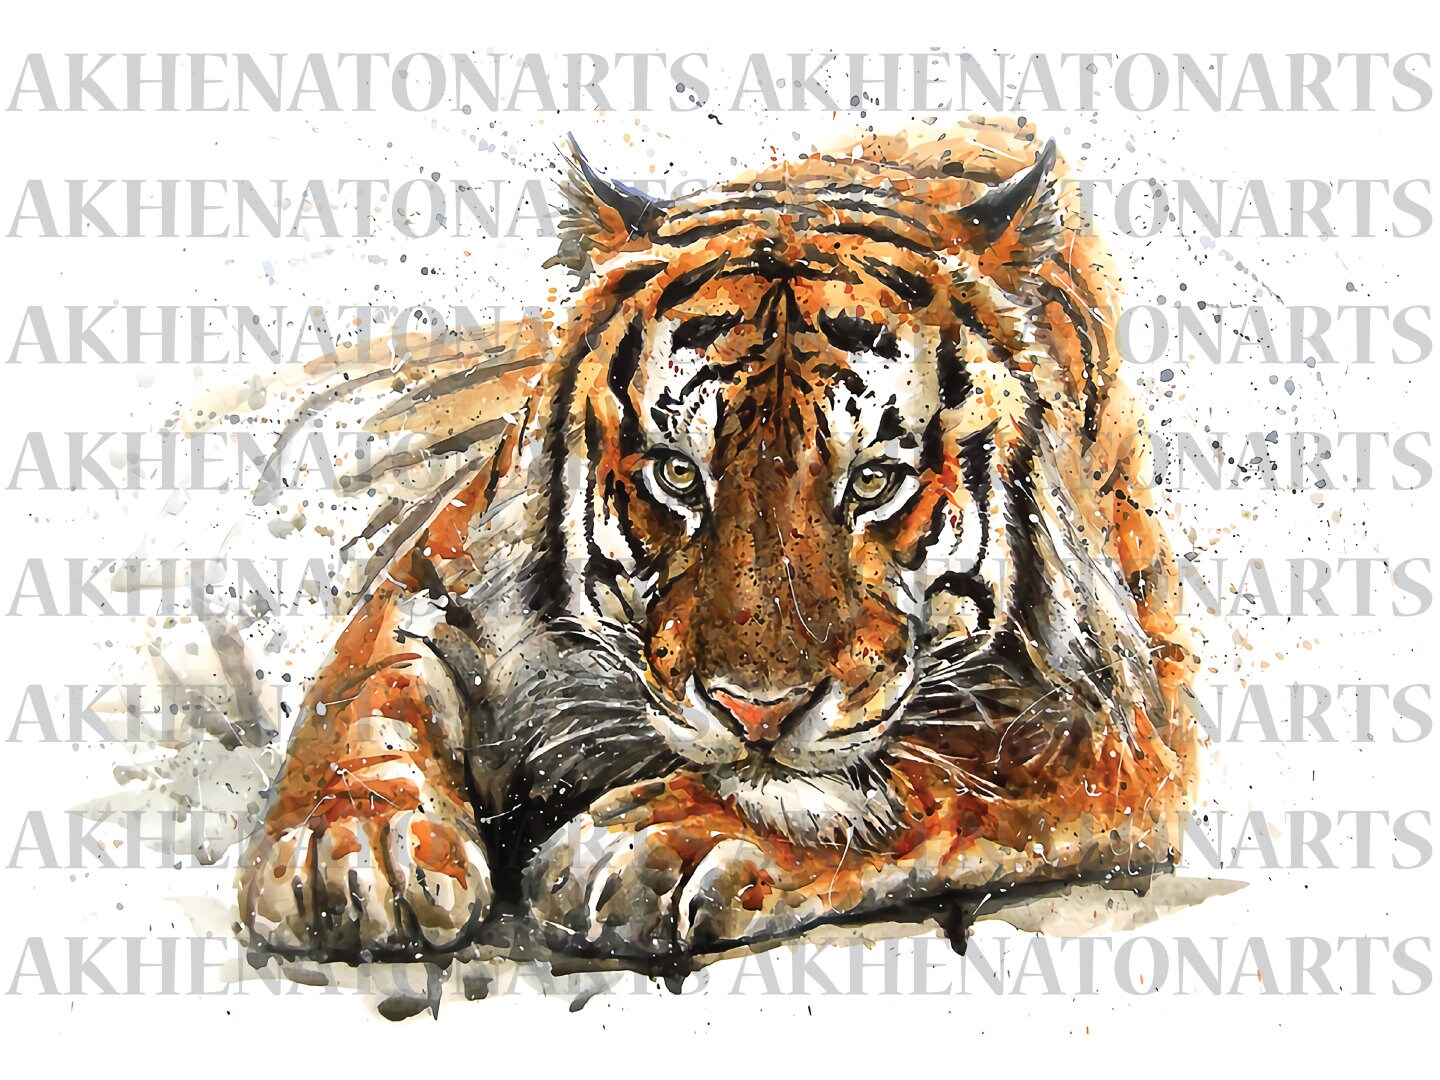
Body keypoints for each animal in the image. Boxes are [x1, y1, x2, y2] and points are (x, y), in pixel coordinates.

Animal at [236, 117, 1200, 972]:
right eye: (678, 475)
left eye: (873, 484)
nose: (757, 714)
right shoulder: (443, 565)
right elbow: (367, 685)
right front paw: (354, 845)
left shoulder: (1123, 722)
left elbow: (945, 774)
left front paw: (661, 837)